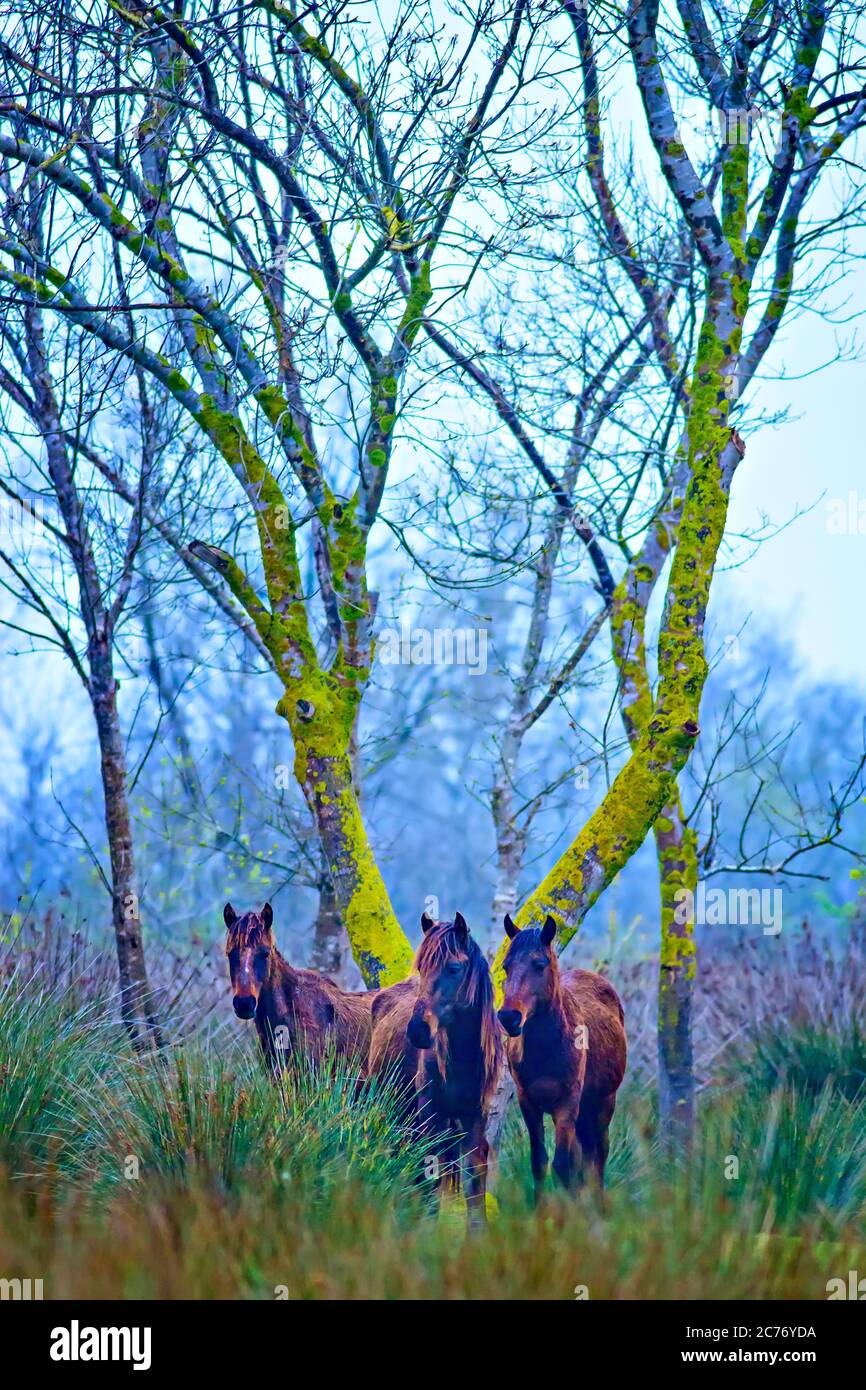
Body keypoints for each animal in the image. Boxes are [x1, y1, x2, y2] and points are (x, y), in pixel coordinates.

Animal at [369, 911, 502, 1225]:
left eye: (454, 968)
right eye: (421, 968)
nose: (417, 1031)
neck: (464, 1061)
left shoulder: (475, 1116)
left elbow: (473, 1180)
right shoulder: (430, 1112)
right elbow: (429, 1171)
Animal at [498, 914, 626, 1198]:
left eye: (539, 964)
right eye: (506, 967)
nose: (508, 1017)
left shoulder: (567, 1104)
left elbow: (563, 1166)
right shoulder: (528, 1102)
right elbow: (540, 1163)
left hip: (603, 1103)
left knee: (598, 1158)